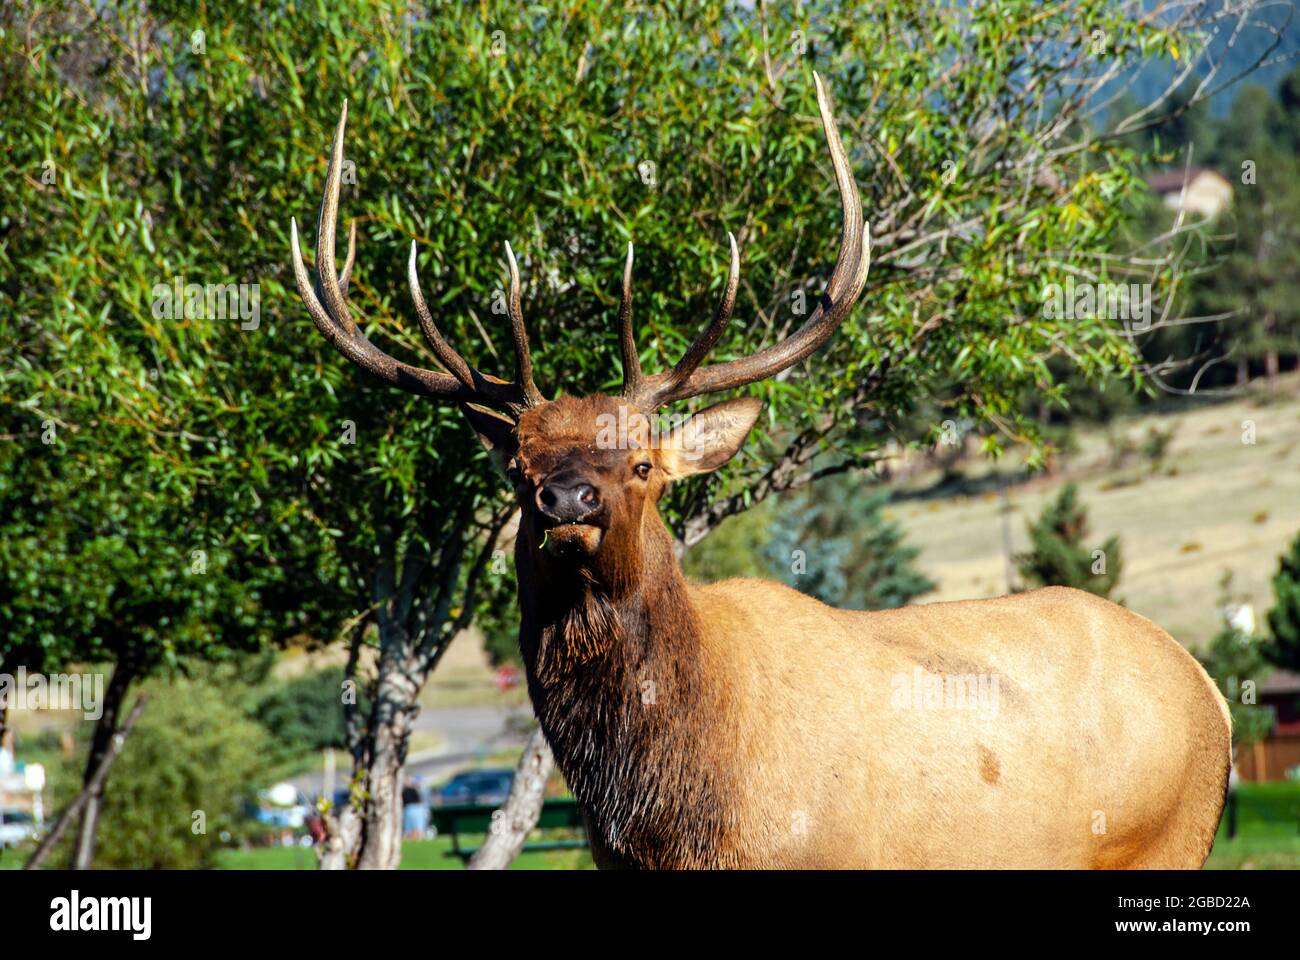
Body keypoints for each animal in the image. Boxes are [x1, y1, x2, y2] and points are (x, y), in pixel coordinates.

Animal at [290, 75, 1232, 869]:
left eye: (643, 463)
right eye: (519, 468)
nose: (567, 499)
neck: (668, 818)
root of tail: (1212, 692)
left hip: (1168, 839)